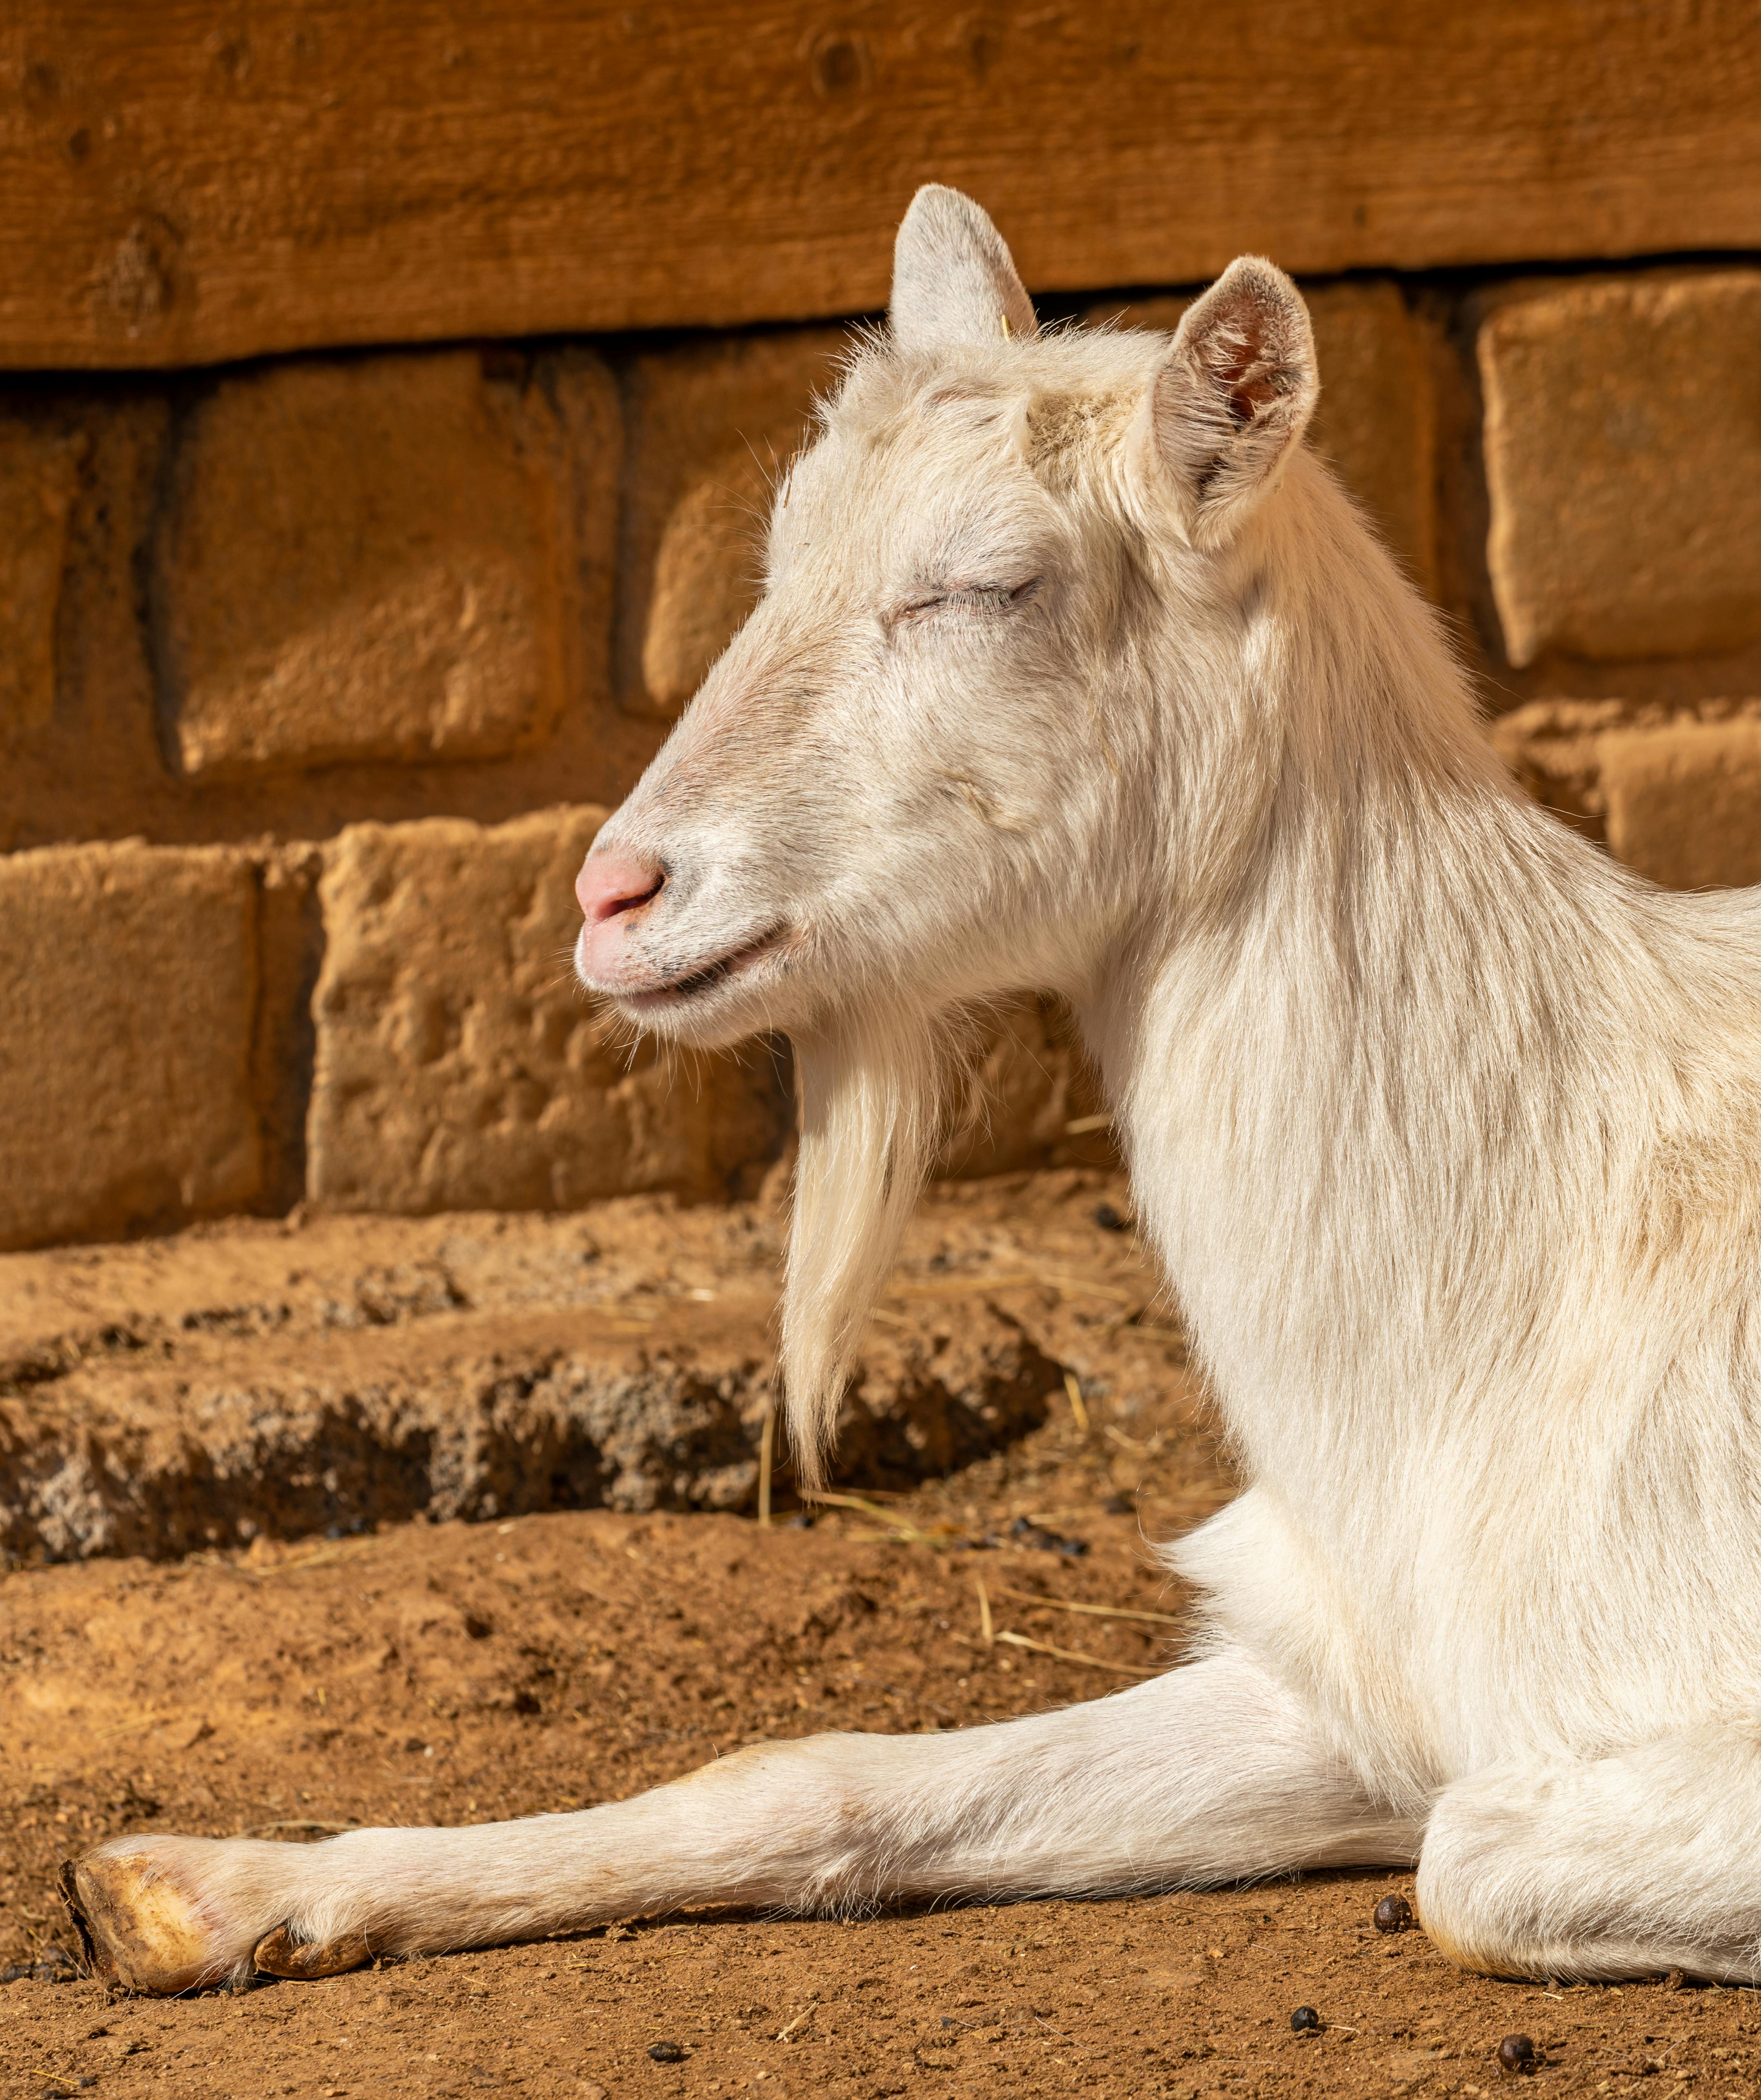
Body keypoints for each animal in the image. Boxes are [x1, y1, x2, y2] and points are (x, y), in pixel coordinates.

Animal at [65, 186, 1761, 1996]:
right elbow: (805, 1768)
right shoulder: (1342, 1680)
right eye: (777, 554)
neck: (1536, 1254)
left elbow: (1471, 1855)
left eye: (987, 583)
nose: (613, 894)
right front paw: (203, 1888)